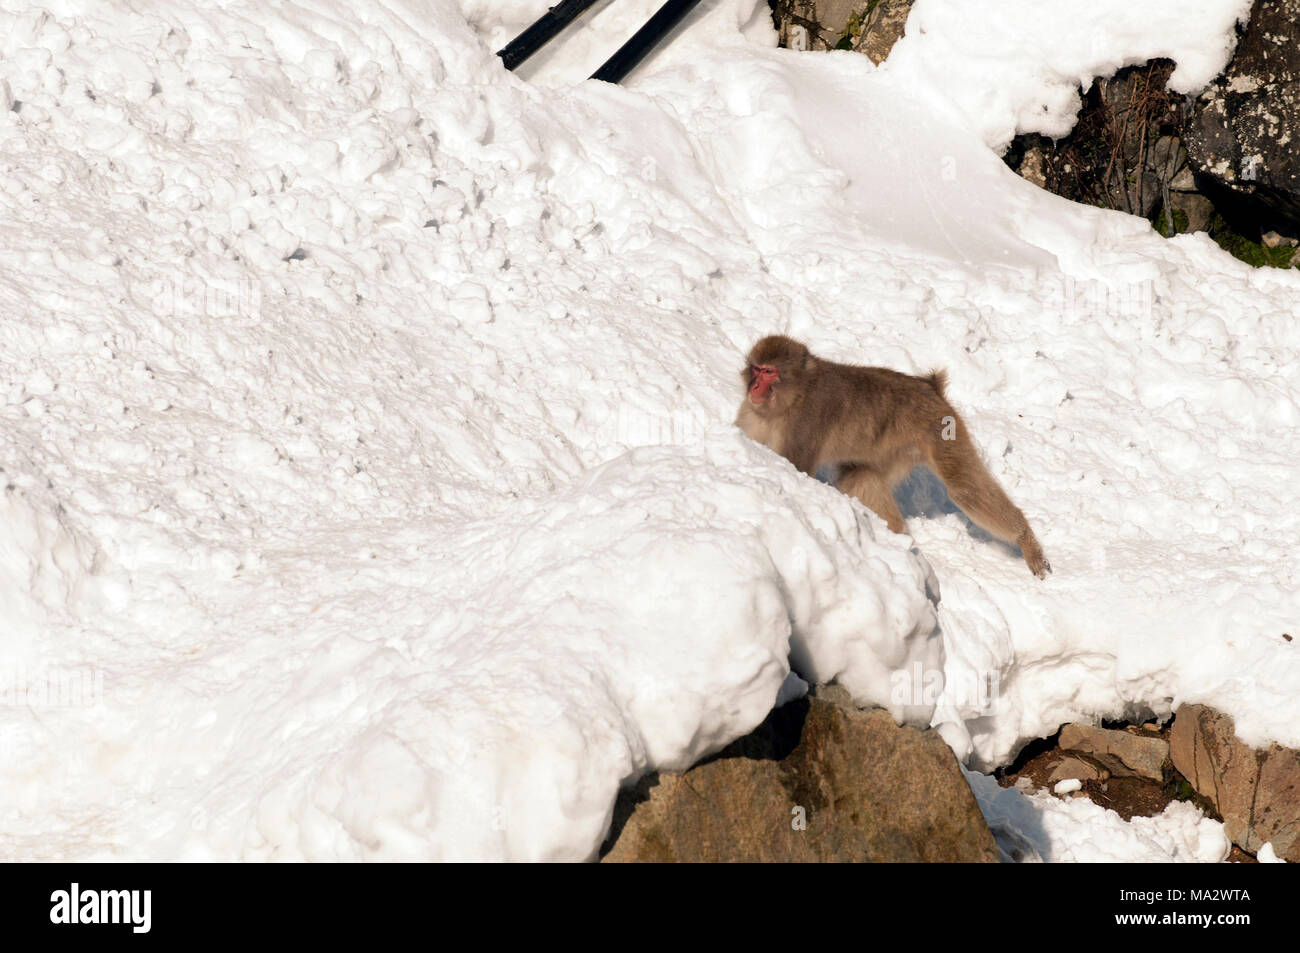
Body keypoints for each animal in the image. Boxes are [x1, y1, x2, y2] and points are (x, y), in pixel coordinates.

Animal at [735, 335, 1050, 578]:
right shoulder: (754, 413)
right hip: (895, 450)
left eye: (769, 372)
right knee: (859, 476)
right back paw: (896, 539)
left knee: (964, 489)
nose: (754, 387)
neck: (795, 395)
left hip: (941, 432)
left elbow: (796, 467)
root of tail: (931, 387)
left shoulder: (806, 421)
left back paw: (1024, 539)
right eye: (756, 369)